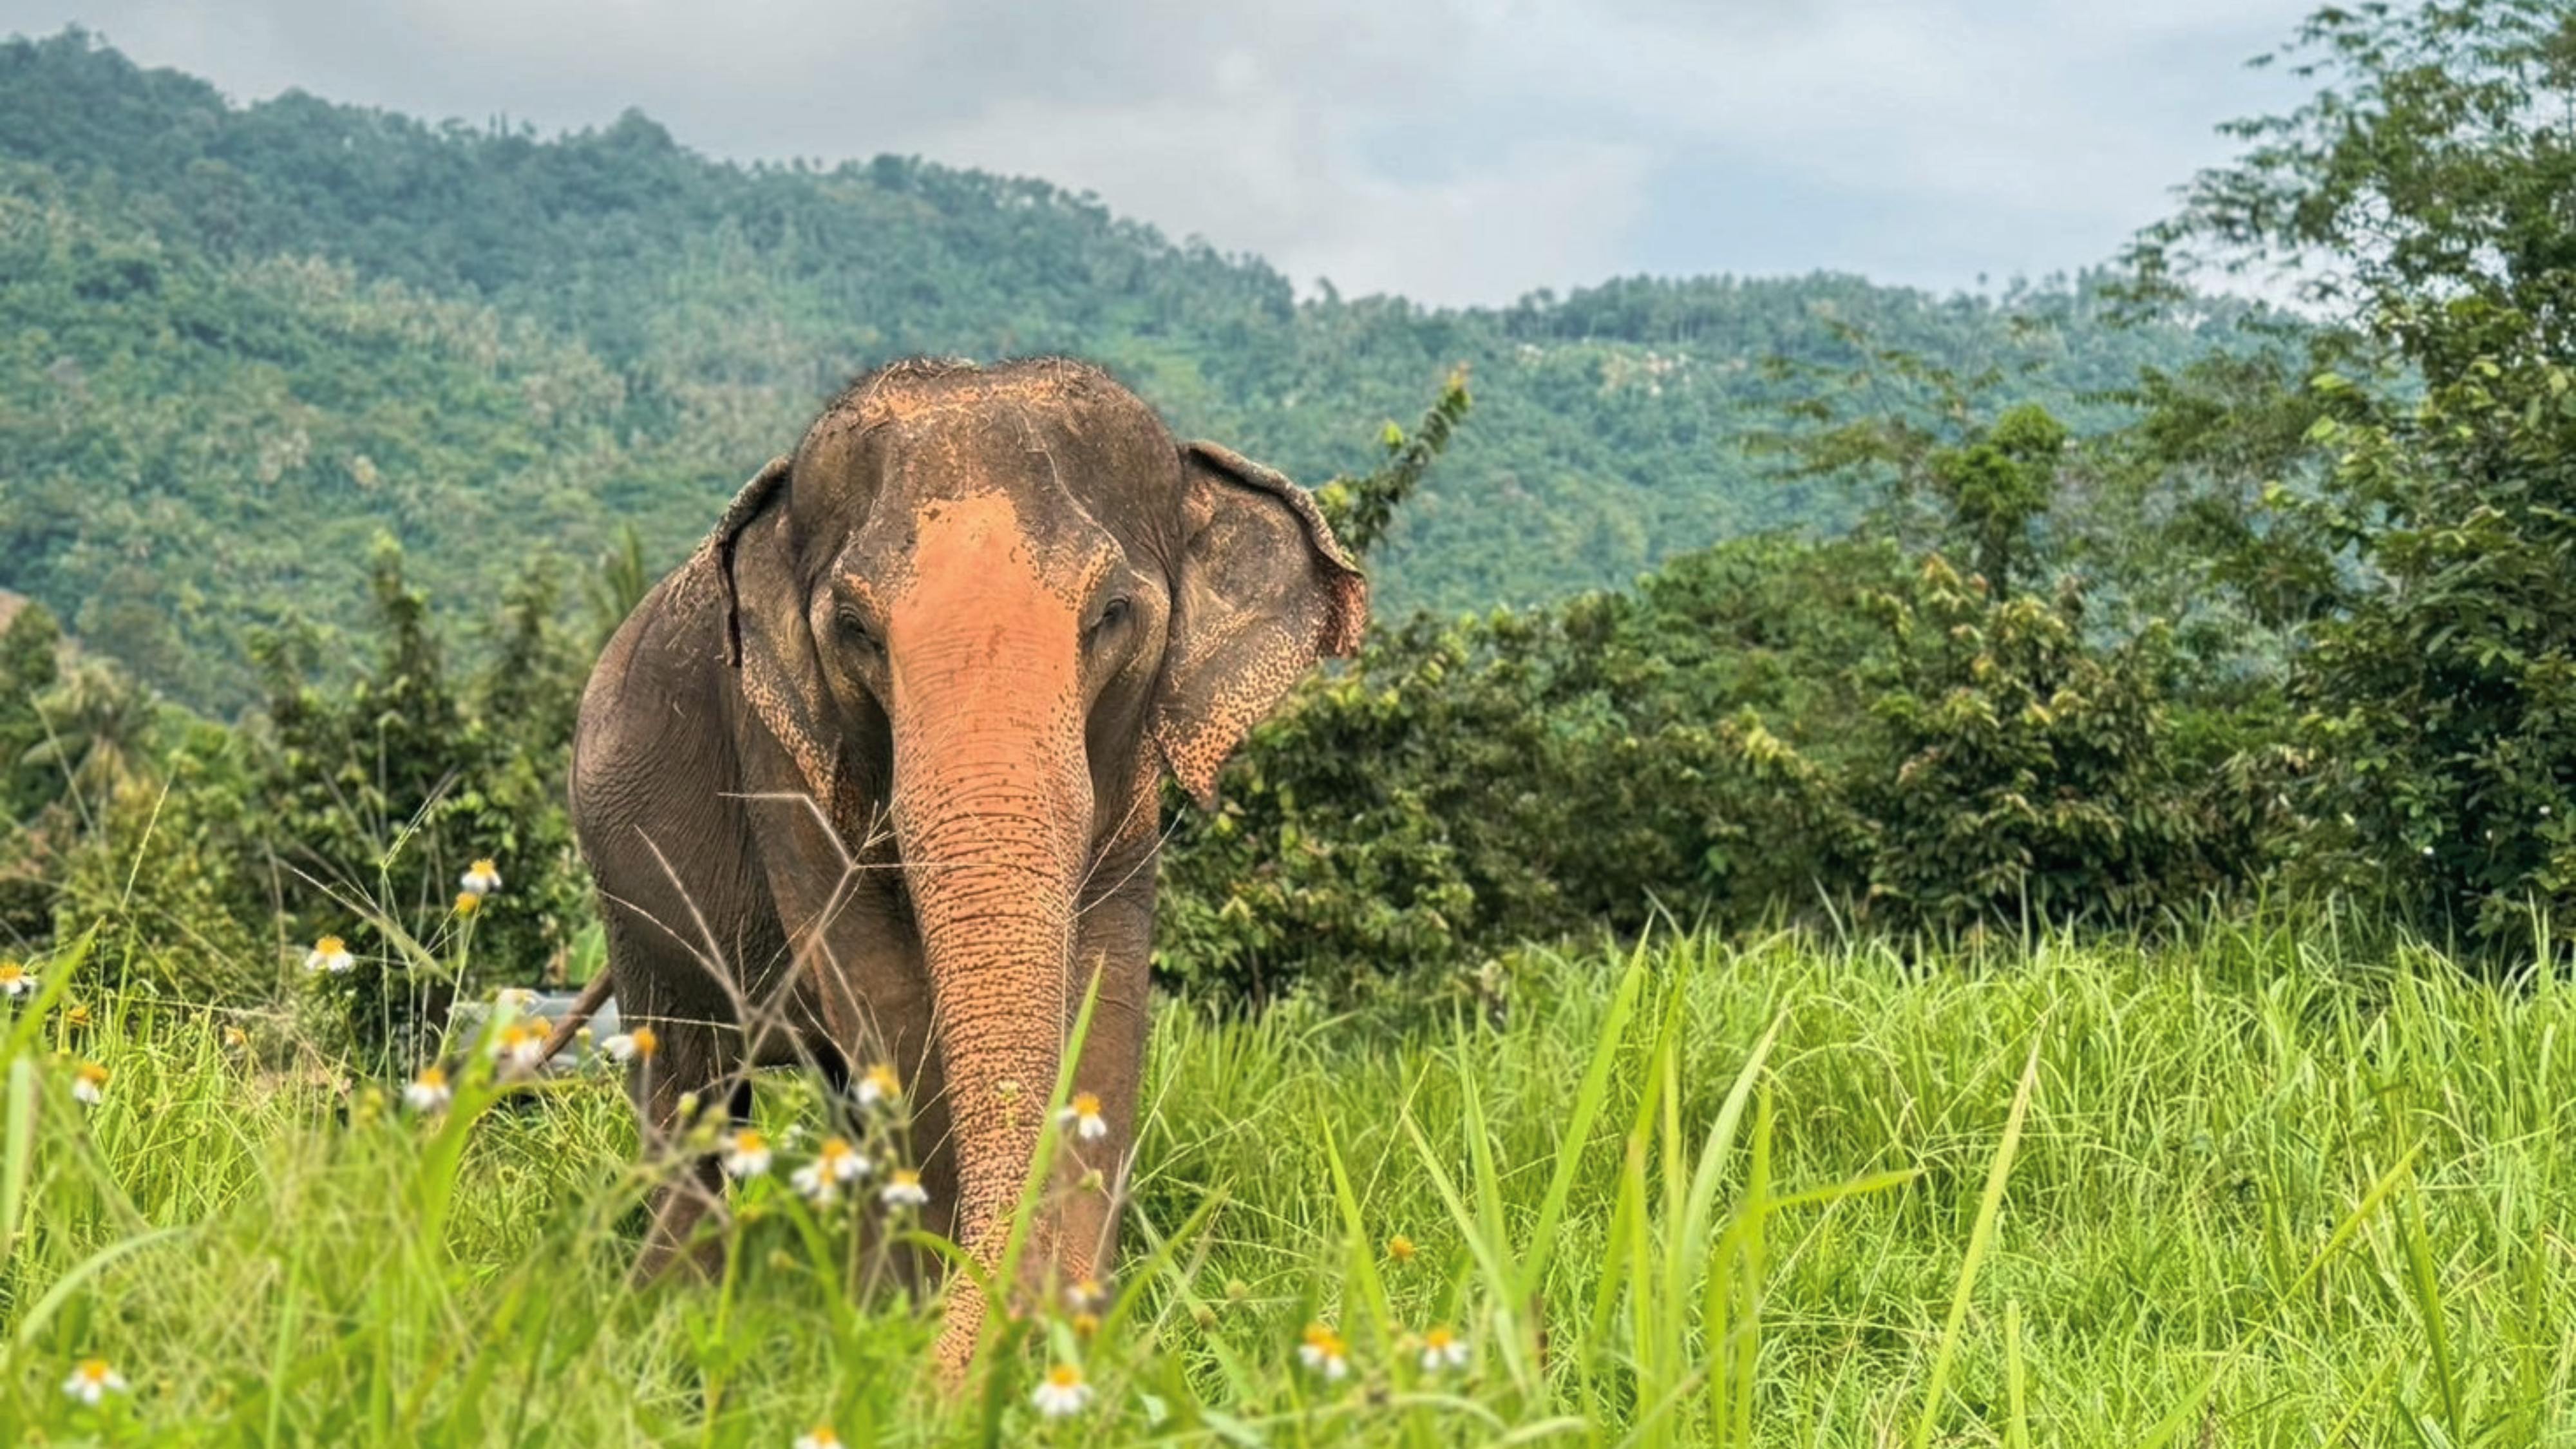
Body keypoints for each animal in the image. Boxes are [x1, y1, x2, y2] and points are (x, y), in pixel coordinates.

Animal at [562, 356, 1365, 1373]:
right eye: (855, 629)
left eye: (1112, 614)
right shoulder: (778, 753)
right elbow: (884, 994)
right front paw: (926, 1330)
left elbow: (1106, 996)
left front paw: (1071, 1328)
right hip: (625, 884)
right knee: (688, 1084)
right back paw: (672, 1309)